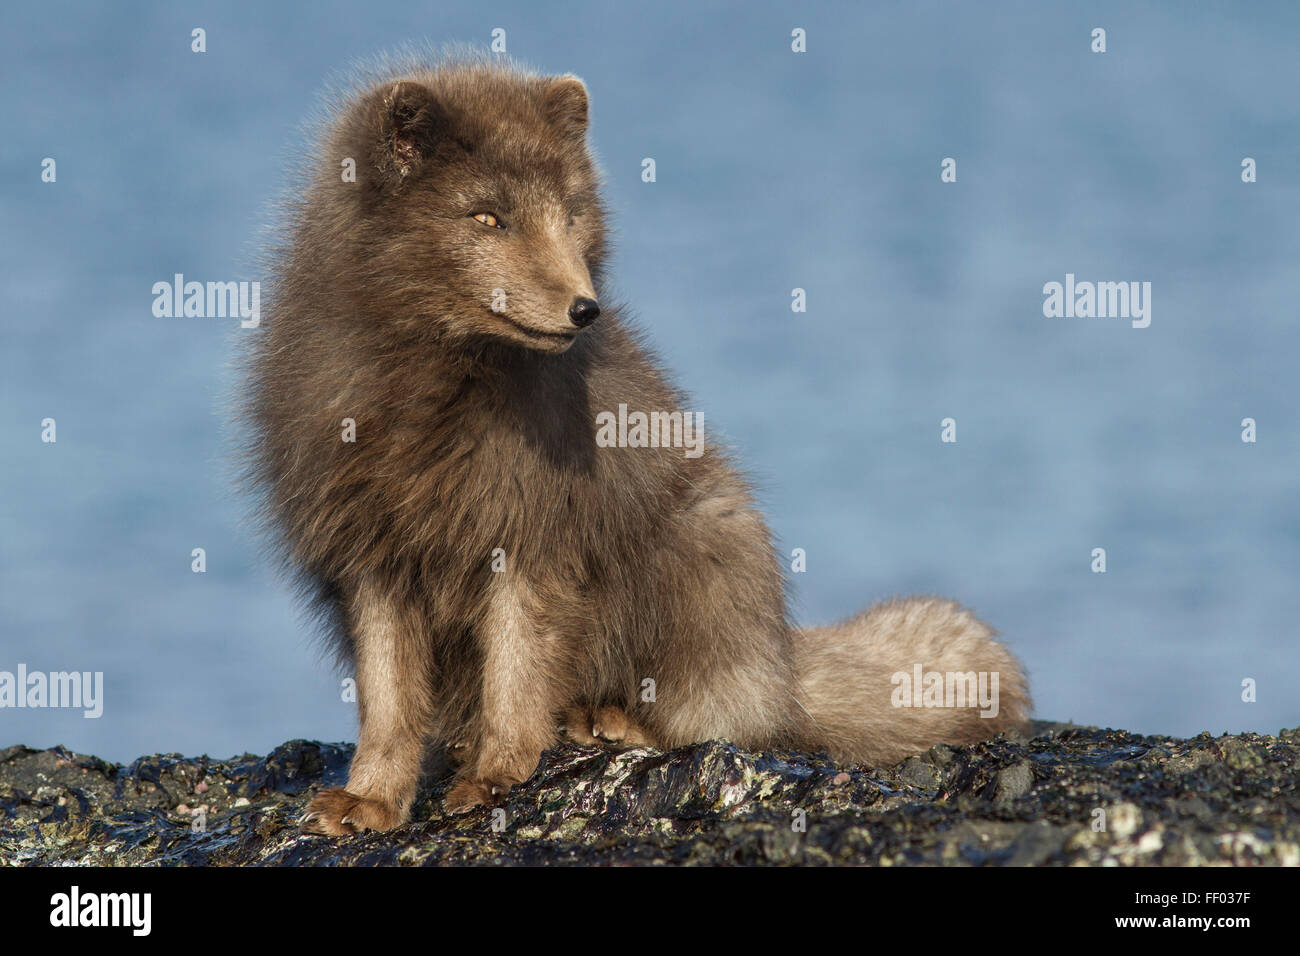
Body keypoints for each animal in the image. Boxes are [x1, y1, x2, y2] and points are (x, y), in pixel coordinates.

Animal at [242, 55, 1031, 835]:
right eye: (487, 218)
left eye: (569, 214)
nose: (584, 309)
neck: (437, 390)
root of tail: (783, 667)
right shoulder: (372, 559)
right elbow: (388, 703)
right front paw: (372, 799)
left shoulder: (532, 541)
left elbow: (516, 676)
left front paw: (498, 777)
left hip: (705, 542)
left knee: (730, 724)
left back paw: (611, 721)